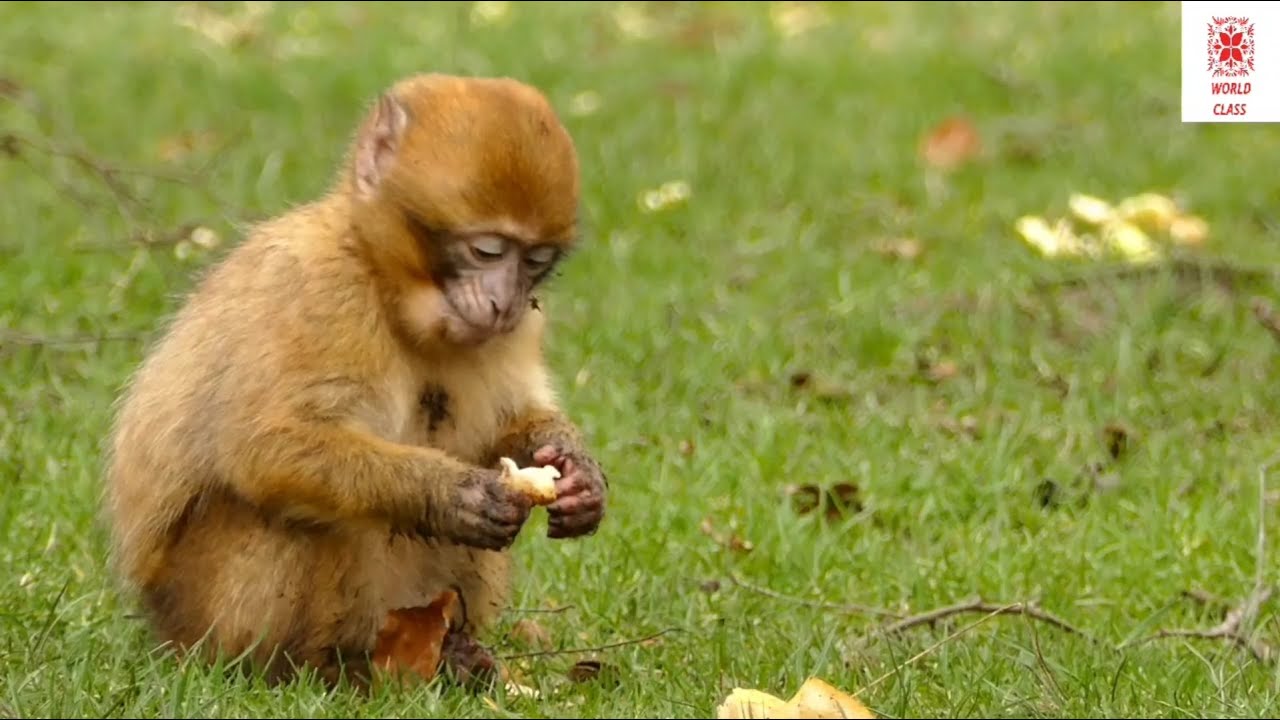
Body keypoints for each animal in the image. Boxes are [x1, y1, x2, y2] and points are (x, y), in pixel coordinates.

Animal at [101, 72, 607, 690]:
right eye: (486, 250)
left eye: (535, 261)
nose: (503, 303)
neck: (386, 286)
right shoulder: (320, 289)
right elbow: (265, 446)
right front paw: (449, 493)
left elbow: (510, 425)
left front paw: (577, 474)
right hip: (200, 614)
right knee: (289, 514)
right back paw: (317, 670)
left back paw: (452, 655)